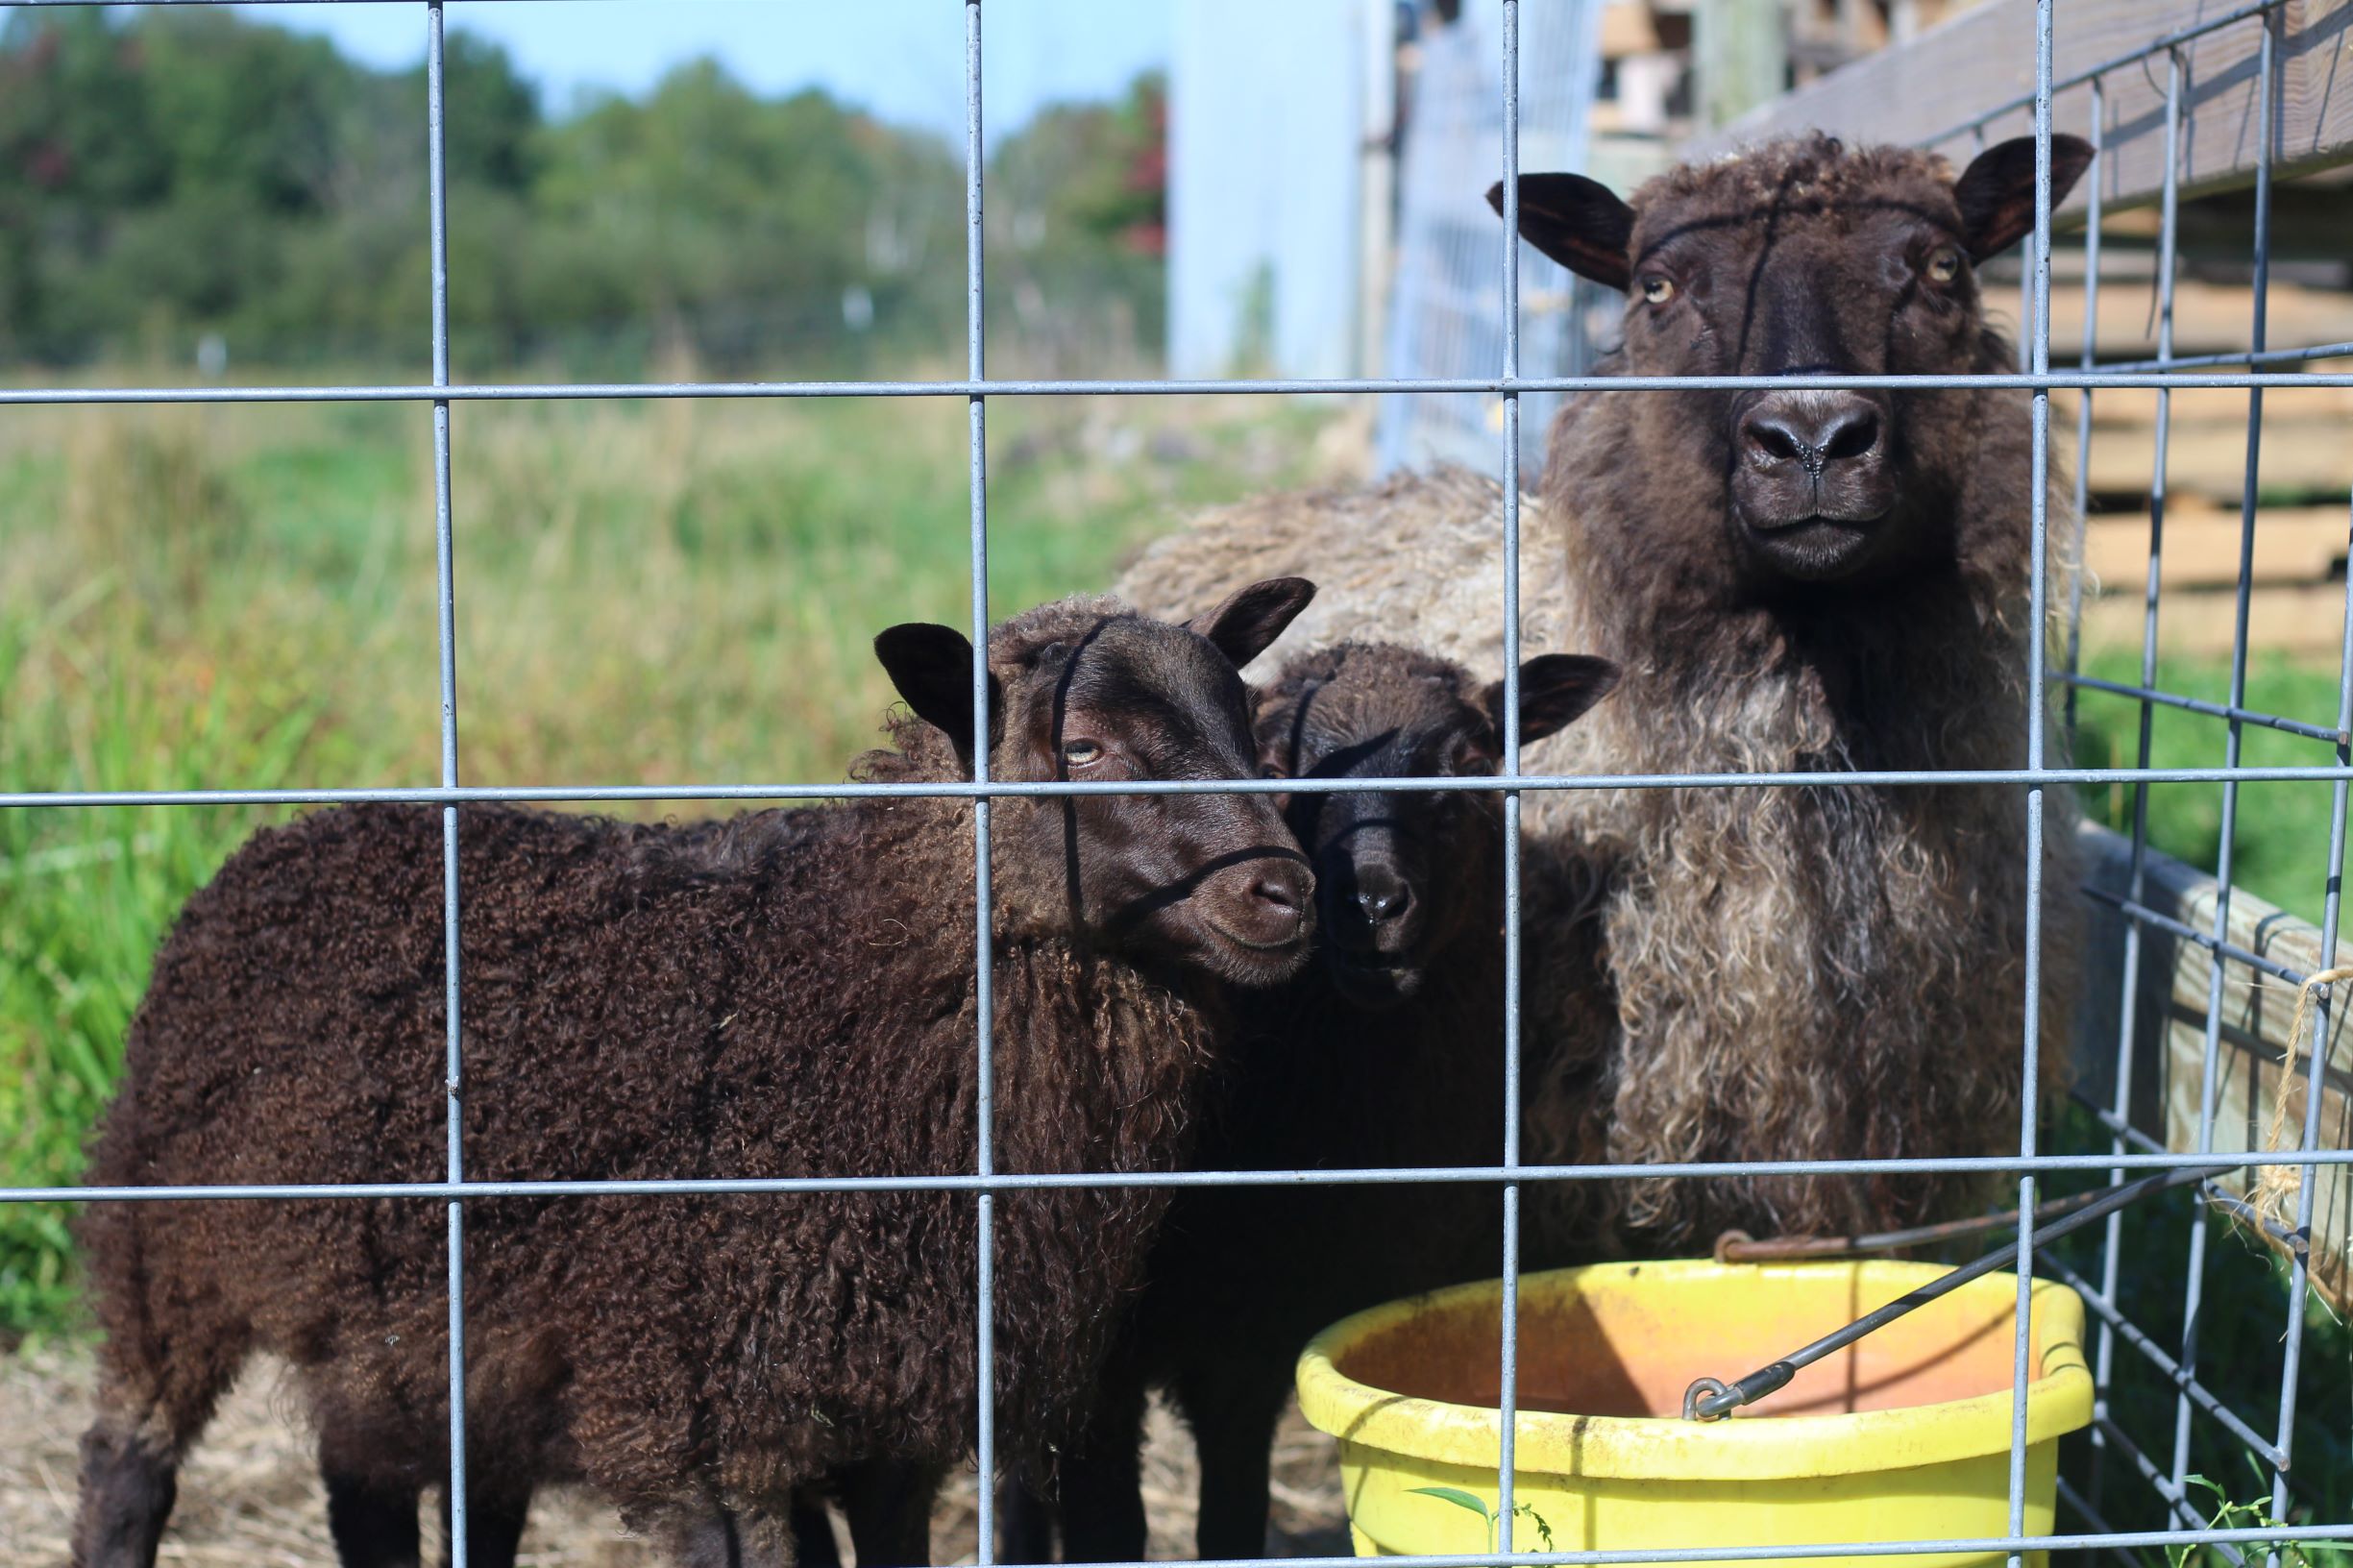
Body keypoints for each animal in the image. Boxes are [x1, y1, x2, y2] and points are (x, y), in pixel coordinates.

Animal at [69, 580, 1322, 1568]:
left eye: (1249, 734)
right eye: (1083, 747)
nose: (1287, 892)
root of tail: (280, 841)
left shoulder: (898, 1418)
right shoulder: (700, 1423)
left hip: (401, 1326)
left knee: (373, 1481)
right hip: (164, 1248)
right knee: (129, 1461)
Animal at [998, 641, 1620, 1564]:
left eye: (1469, 767)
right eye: (1275, 768)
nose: (1366, 906)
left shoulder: (1253, 1341)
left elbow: (1231, 1517)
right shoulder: (1098, 1363)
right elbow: (1109, 1524)